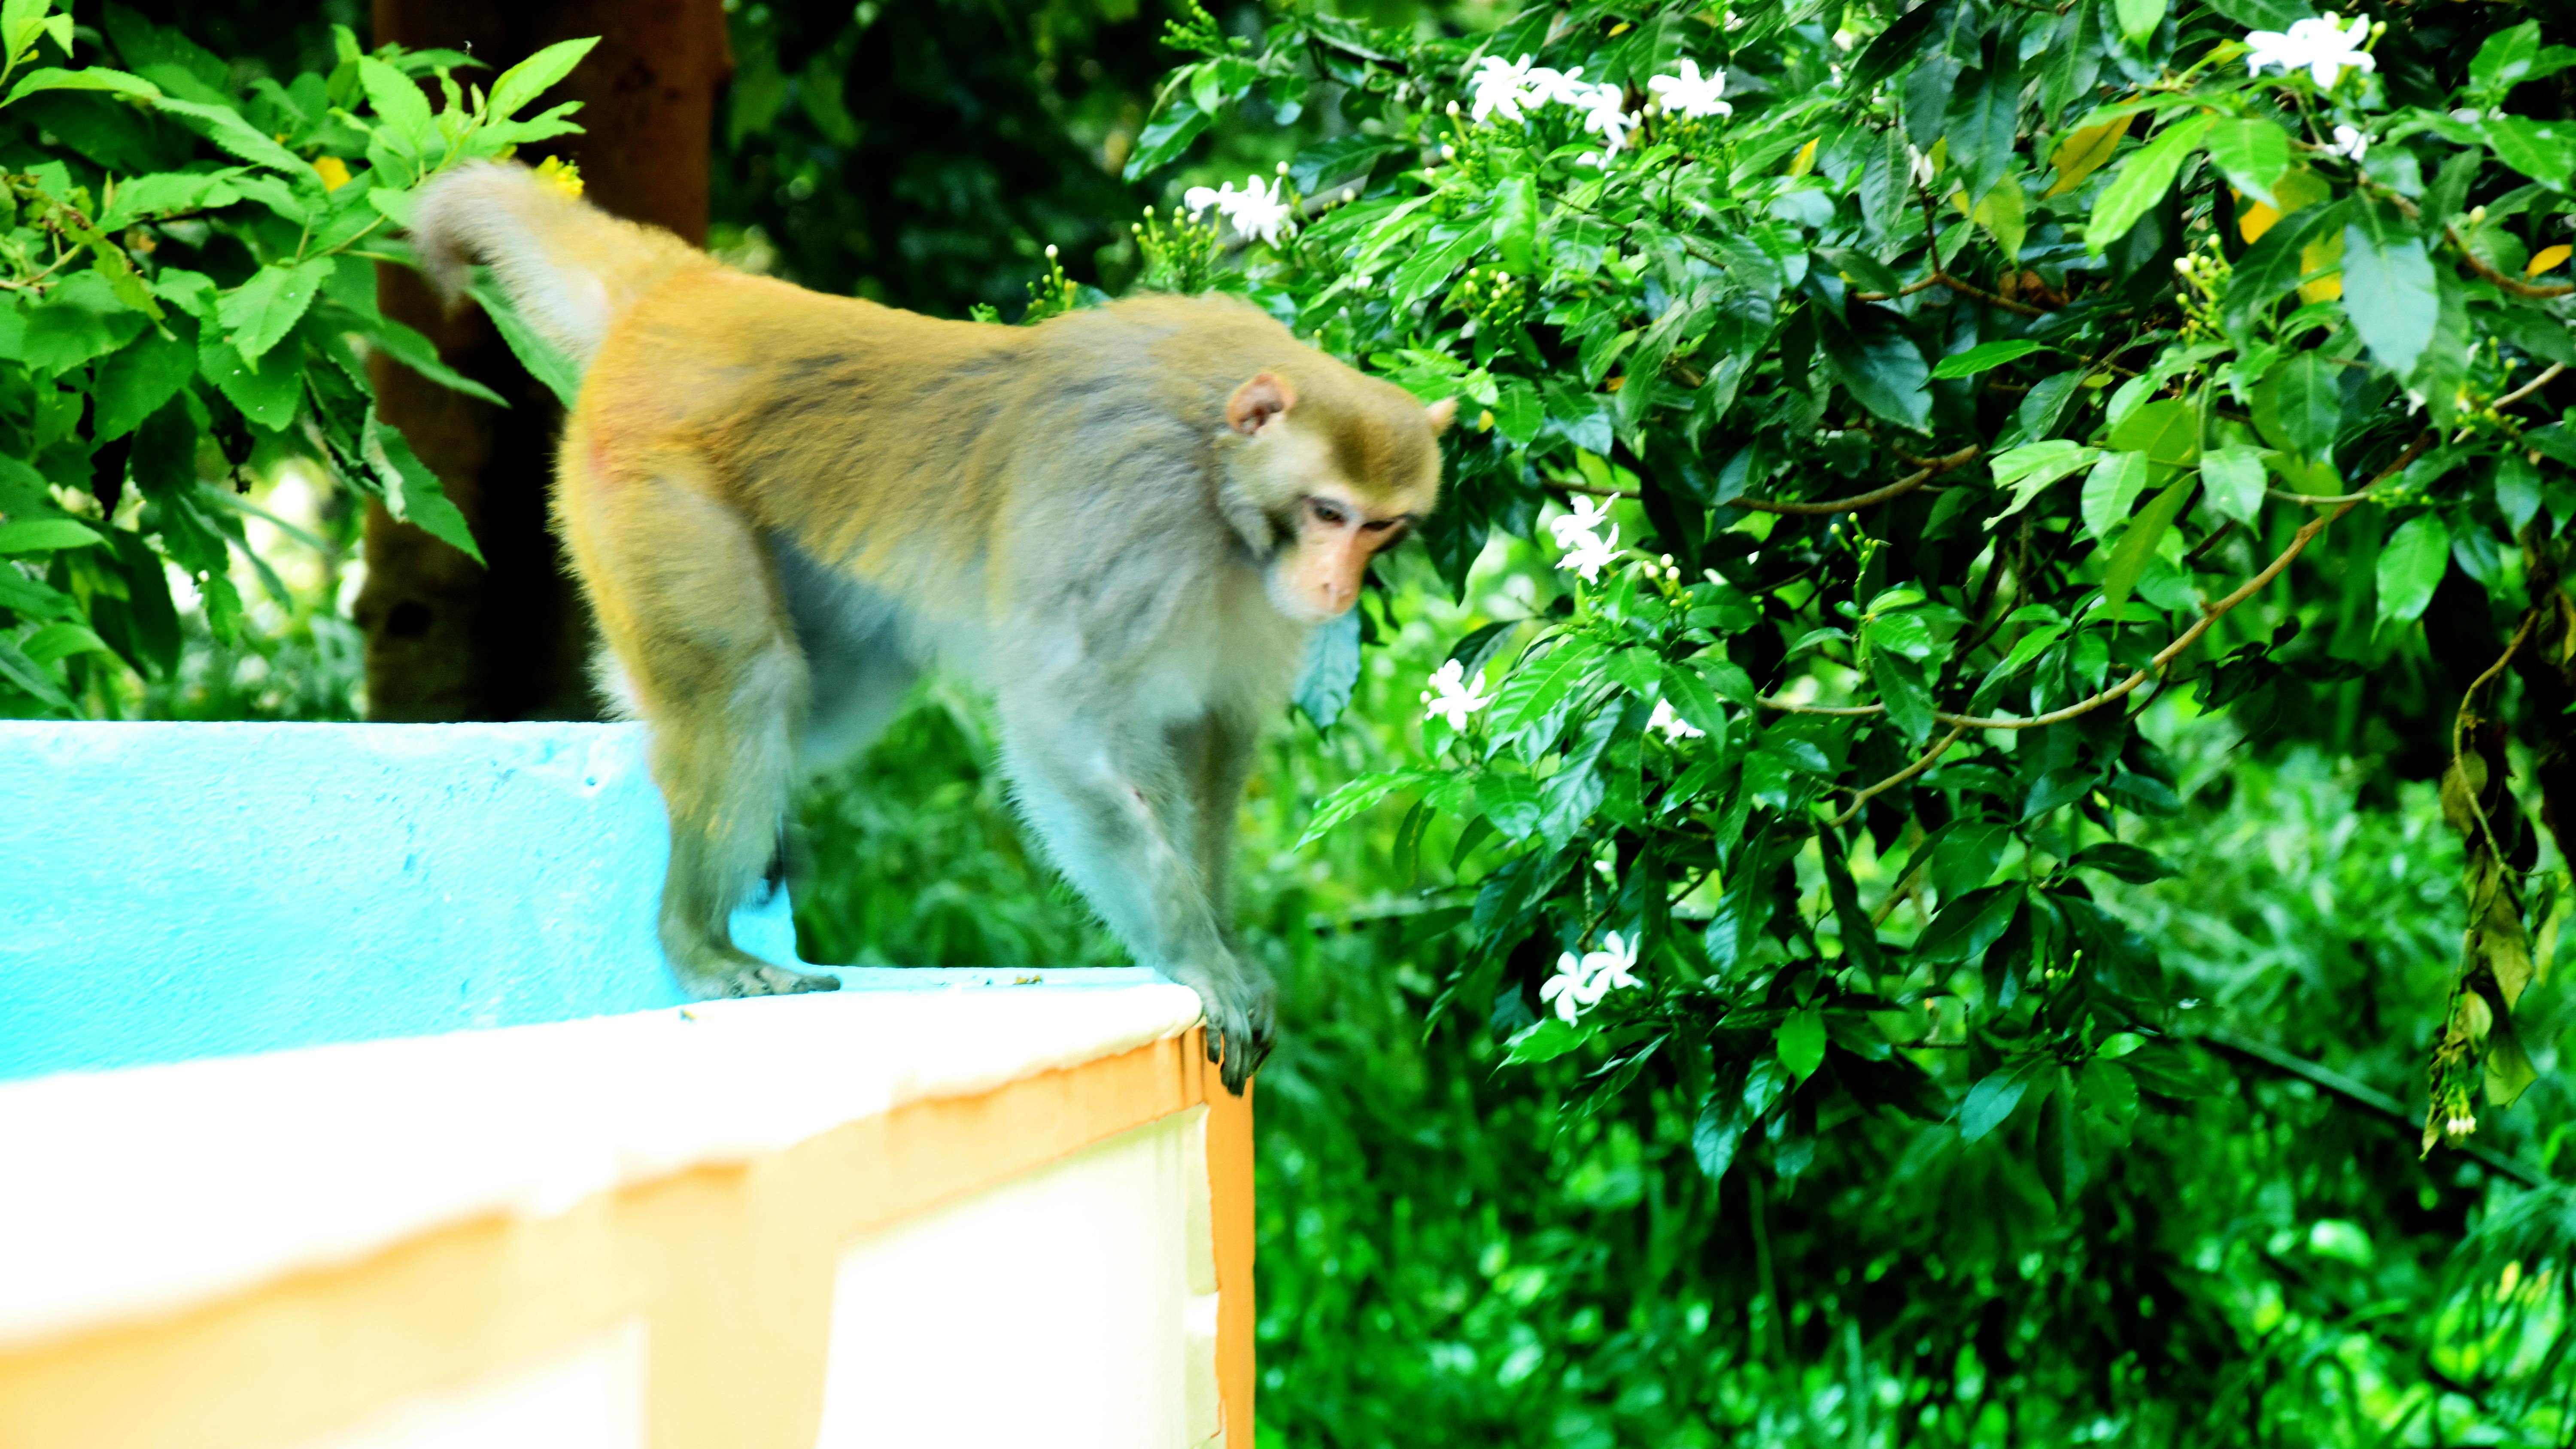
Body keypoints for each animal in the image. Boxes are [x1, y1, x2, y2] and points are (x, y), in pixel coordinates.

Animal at [409, 162, 1451, 1091]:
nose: (1335, 583)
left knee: (830, 698)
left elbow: (1209, 749)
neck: (1218, 480)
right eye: (1327, 512)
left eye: (1384, 526)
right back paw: (697, 940)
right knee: (748, 680)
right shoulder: (1126, 517)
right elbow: (1064, 731)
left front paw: (1232, 949)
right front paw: (1199, 959)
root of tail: (692, 288)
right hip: (647, 476)